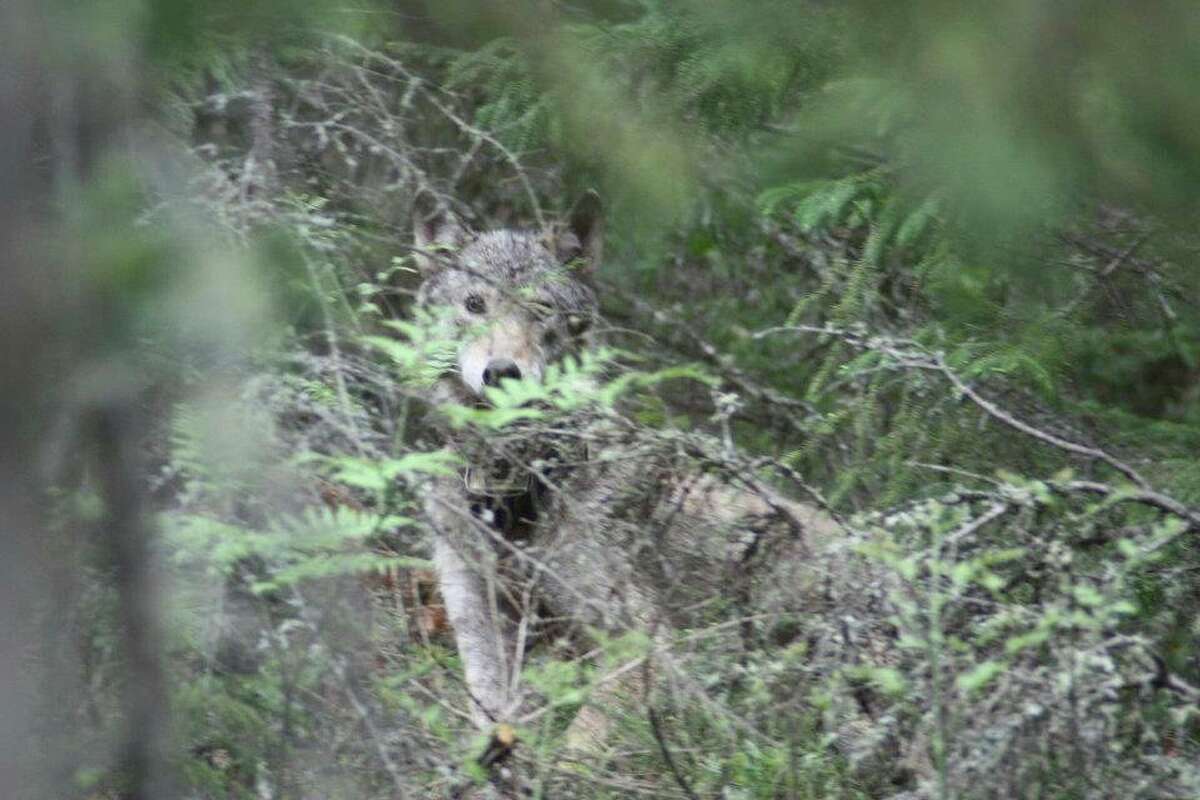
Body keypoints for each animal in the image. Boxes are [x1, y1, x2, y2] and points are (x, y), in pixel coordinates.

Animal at [409, 194, 839, 751]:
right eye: (475, 304)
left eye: (541, 308)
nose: (502, 373)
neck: (515, 483)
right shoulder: (479, 622)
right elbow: (488, 728)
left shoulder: (648, 650)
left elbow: (574, 752)